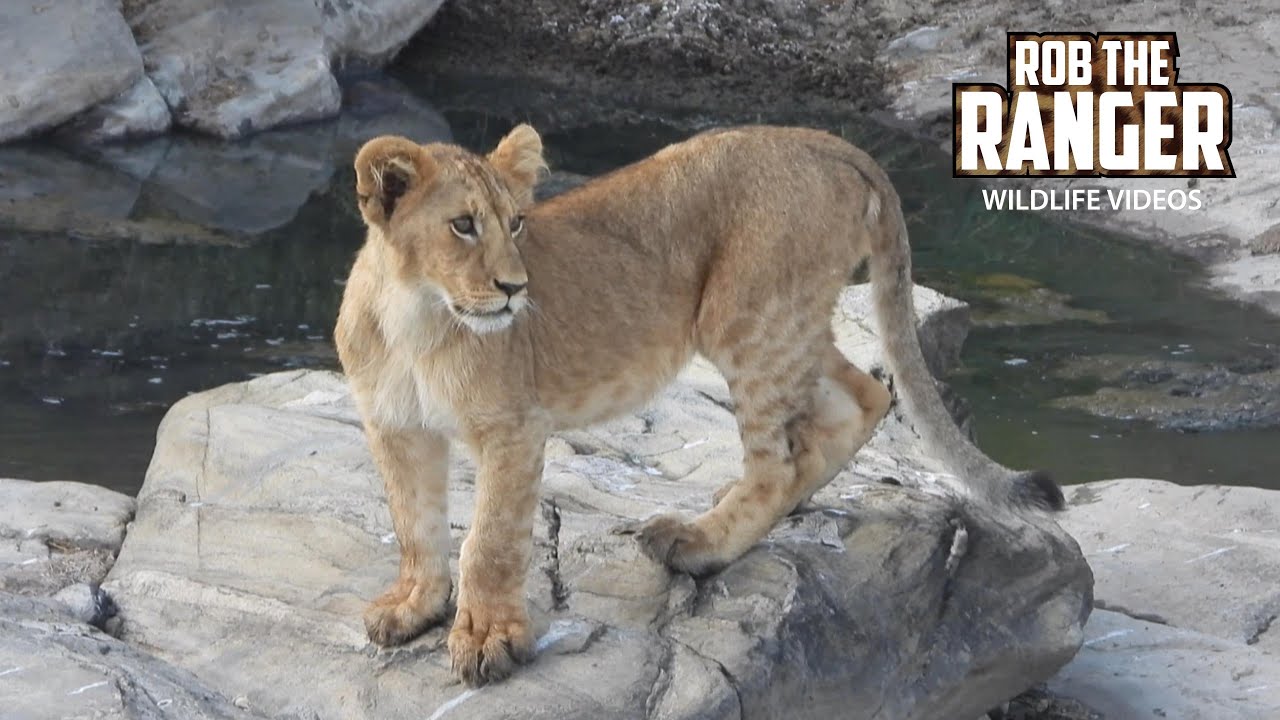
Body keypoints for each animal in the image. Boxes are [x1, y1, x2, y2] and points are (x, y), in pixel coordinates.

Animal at [334, 123, 1064, 686]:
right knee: (865, 394)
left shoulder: (514, 428)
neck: (417, 318)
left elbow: (489, 541)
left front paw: (489, 640)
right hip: (787, 320)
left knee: (778, 459)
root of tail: (821, 139)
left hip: (745, 318)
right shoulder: (394, 427)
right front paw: (415, 606)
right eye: (462, 225)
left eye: (516, 224)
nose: (516, 288)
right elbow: (414, 523)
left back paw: (700, 543)